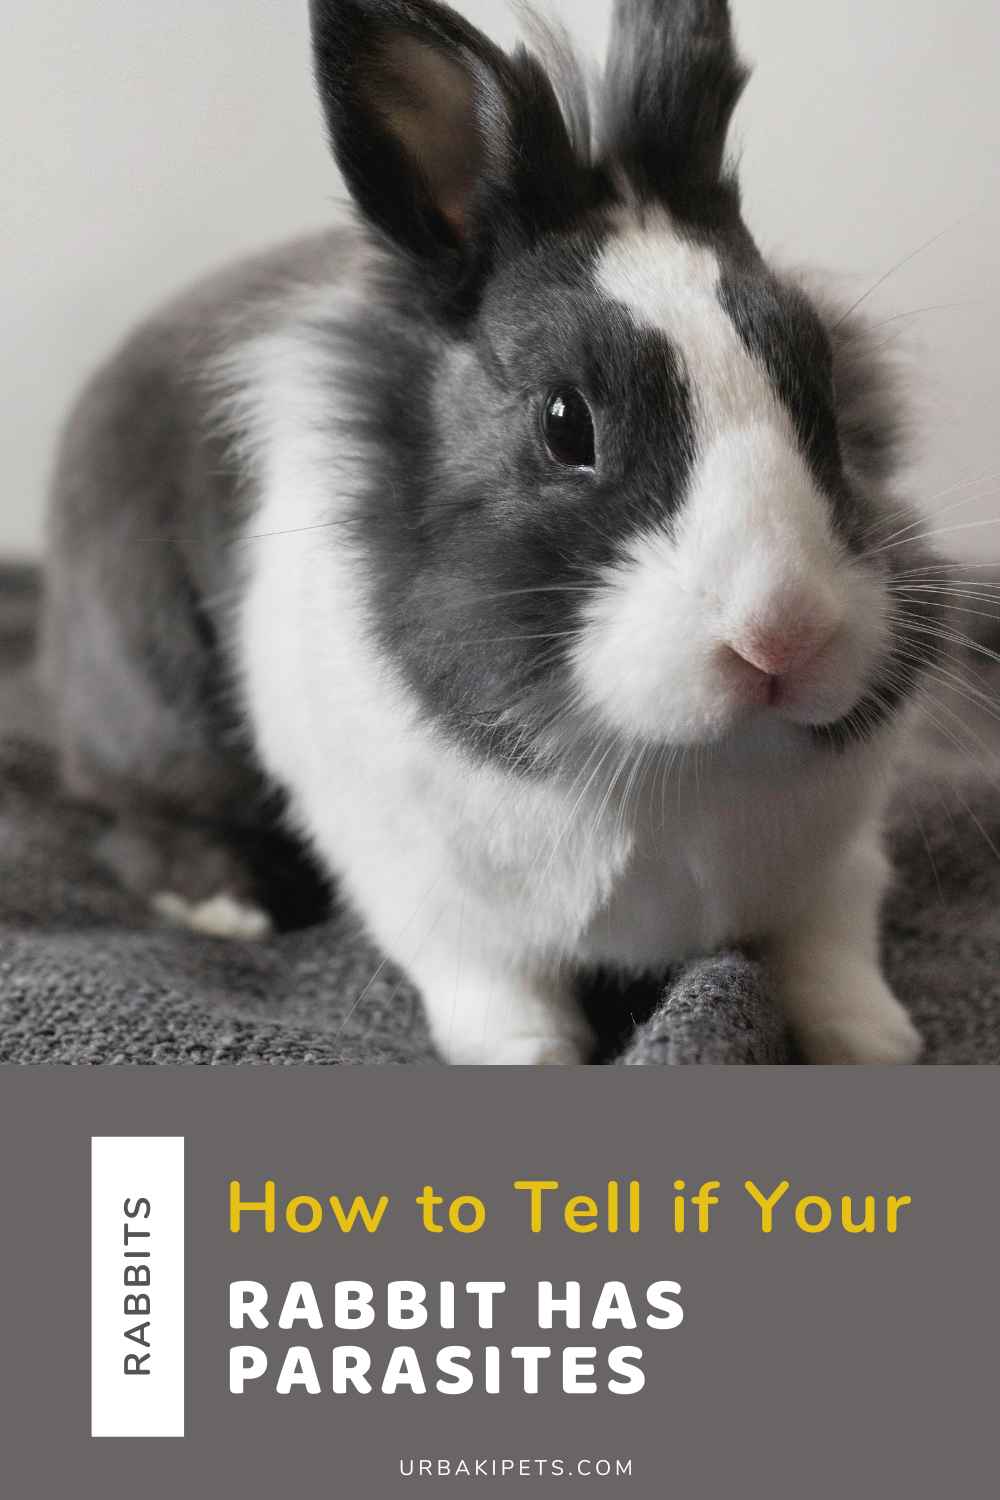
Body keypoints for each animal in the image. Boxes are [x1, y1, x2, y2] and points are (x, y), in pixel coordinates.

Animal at [42, 0, 948, 1065]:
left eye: (824, 382)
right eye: (565, 423)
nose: (782, 637)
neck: (676, 764)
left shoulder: (838, 865)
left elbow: (832, 953)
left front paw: (878, 1043)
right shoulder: (442, 913)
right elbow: (505, 1006)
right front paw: (534, 1058)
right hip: (147, 700)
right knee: (134, 814)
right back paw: (230, 907)